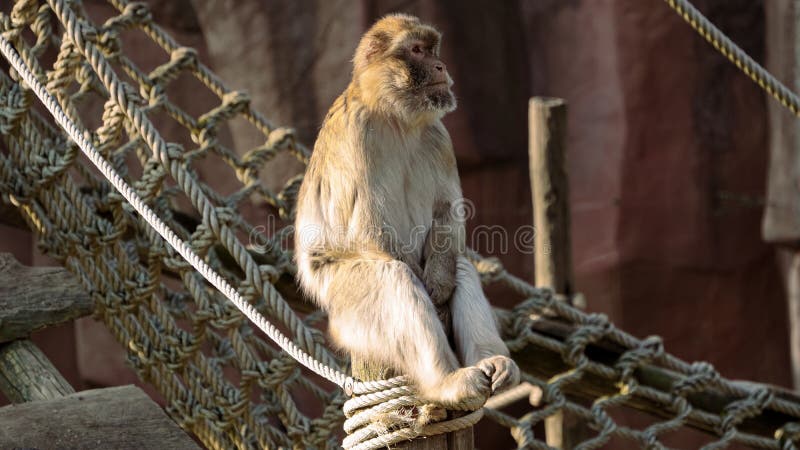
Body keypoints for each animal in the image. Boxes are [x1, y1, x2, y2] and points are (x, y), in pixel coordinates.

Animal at [294, 14, 519, 410]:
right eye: (417, 50)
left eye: (433, 49)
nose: (441, 66)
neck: (395, 115)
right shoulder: (359, 132)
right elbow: (368, 227)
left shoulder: (439, 134)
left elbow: (447, 211)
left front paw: (439, 284)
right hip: (342, 300)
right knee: (393, 276)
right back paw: (448, 381)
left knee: (459, 263)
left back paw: (494, 363)